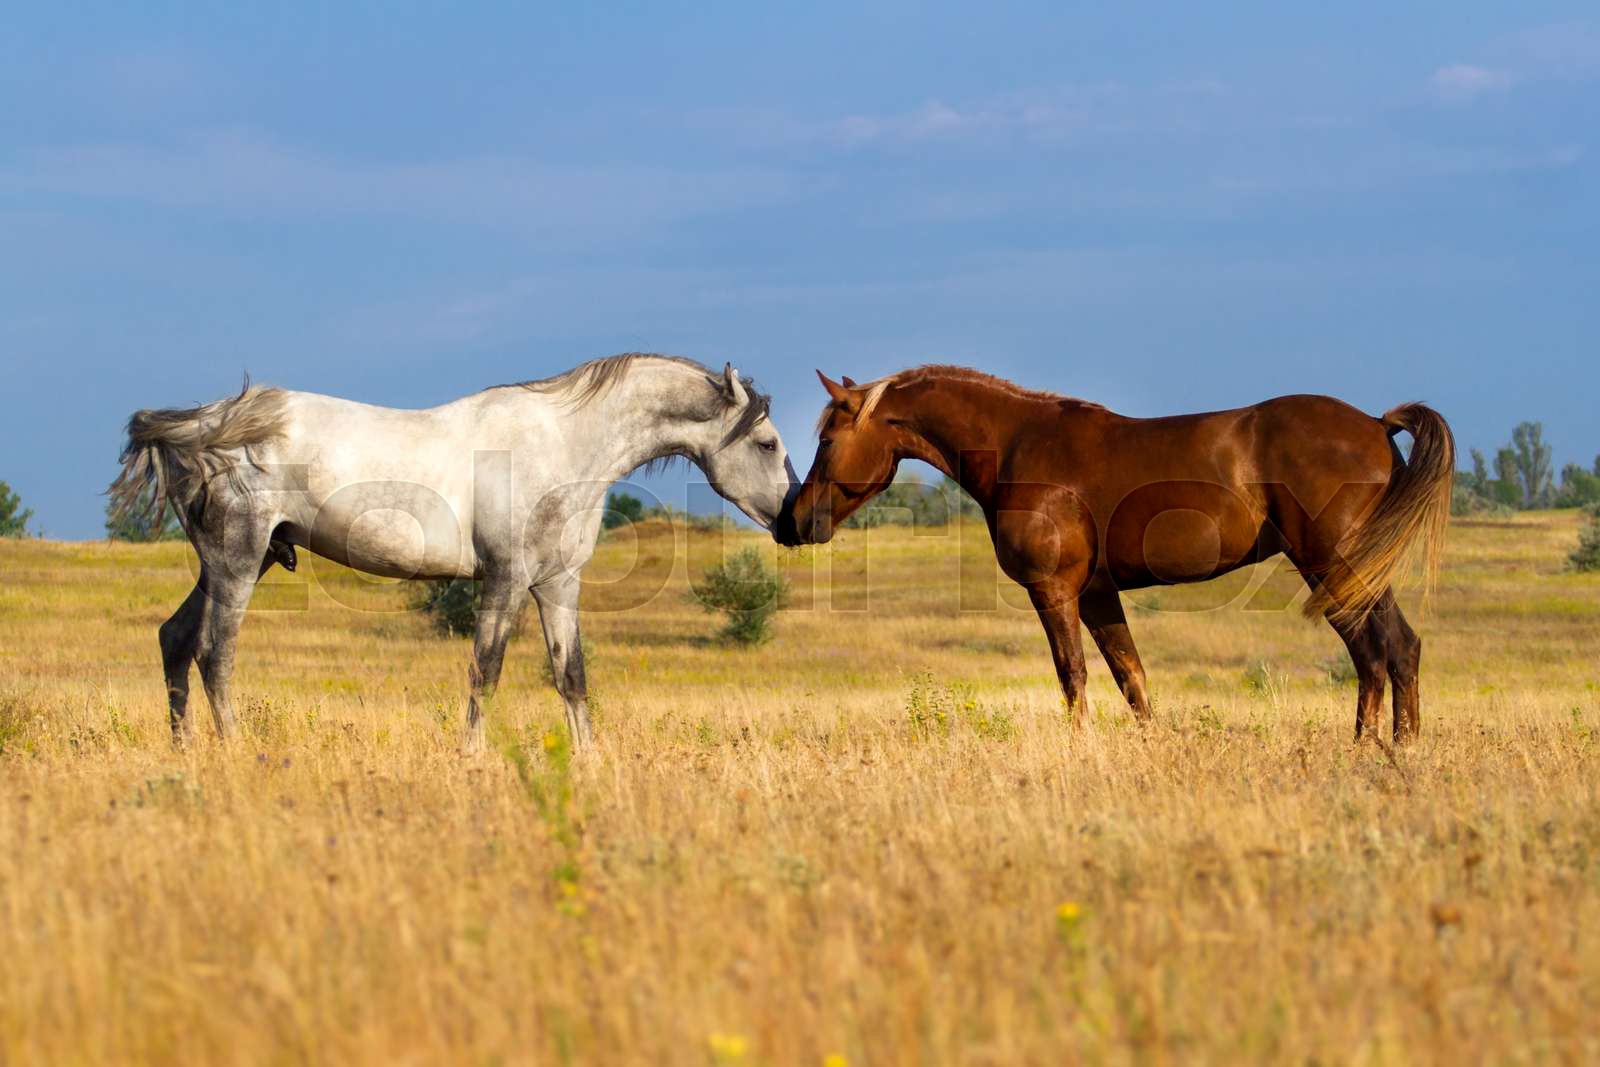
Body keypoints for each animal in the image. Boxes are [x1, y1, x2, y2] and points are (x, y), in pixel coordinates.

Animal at [110, 353, 798, 749]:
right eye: (767, 443)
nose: (794, 521)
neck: (563, 443)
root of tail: (202, 425)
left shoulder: (558, 586)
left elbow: (571, 678)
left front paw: (591, 766)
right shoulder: (505, 580)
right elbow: (485, 673)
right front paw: (472, 759)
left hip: (226, 565)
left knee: (176, 641)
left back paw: (187, 754)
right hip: (238, 560)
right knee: (213, 654)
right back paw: (235, 754)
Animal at [775, 366, 1454, 742]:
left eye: (828, 440)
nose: (793, 521)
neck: (1018, 446)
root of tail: (1375, 423)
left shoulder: (1054, 591)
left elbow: (1071, 674)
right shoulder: (1099, 594)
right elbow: (1132, 678)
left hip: (1335, 567)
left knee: (1387, 649)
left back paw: (1387, 749)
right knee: (1384, 653)